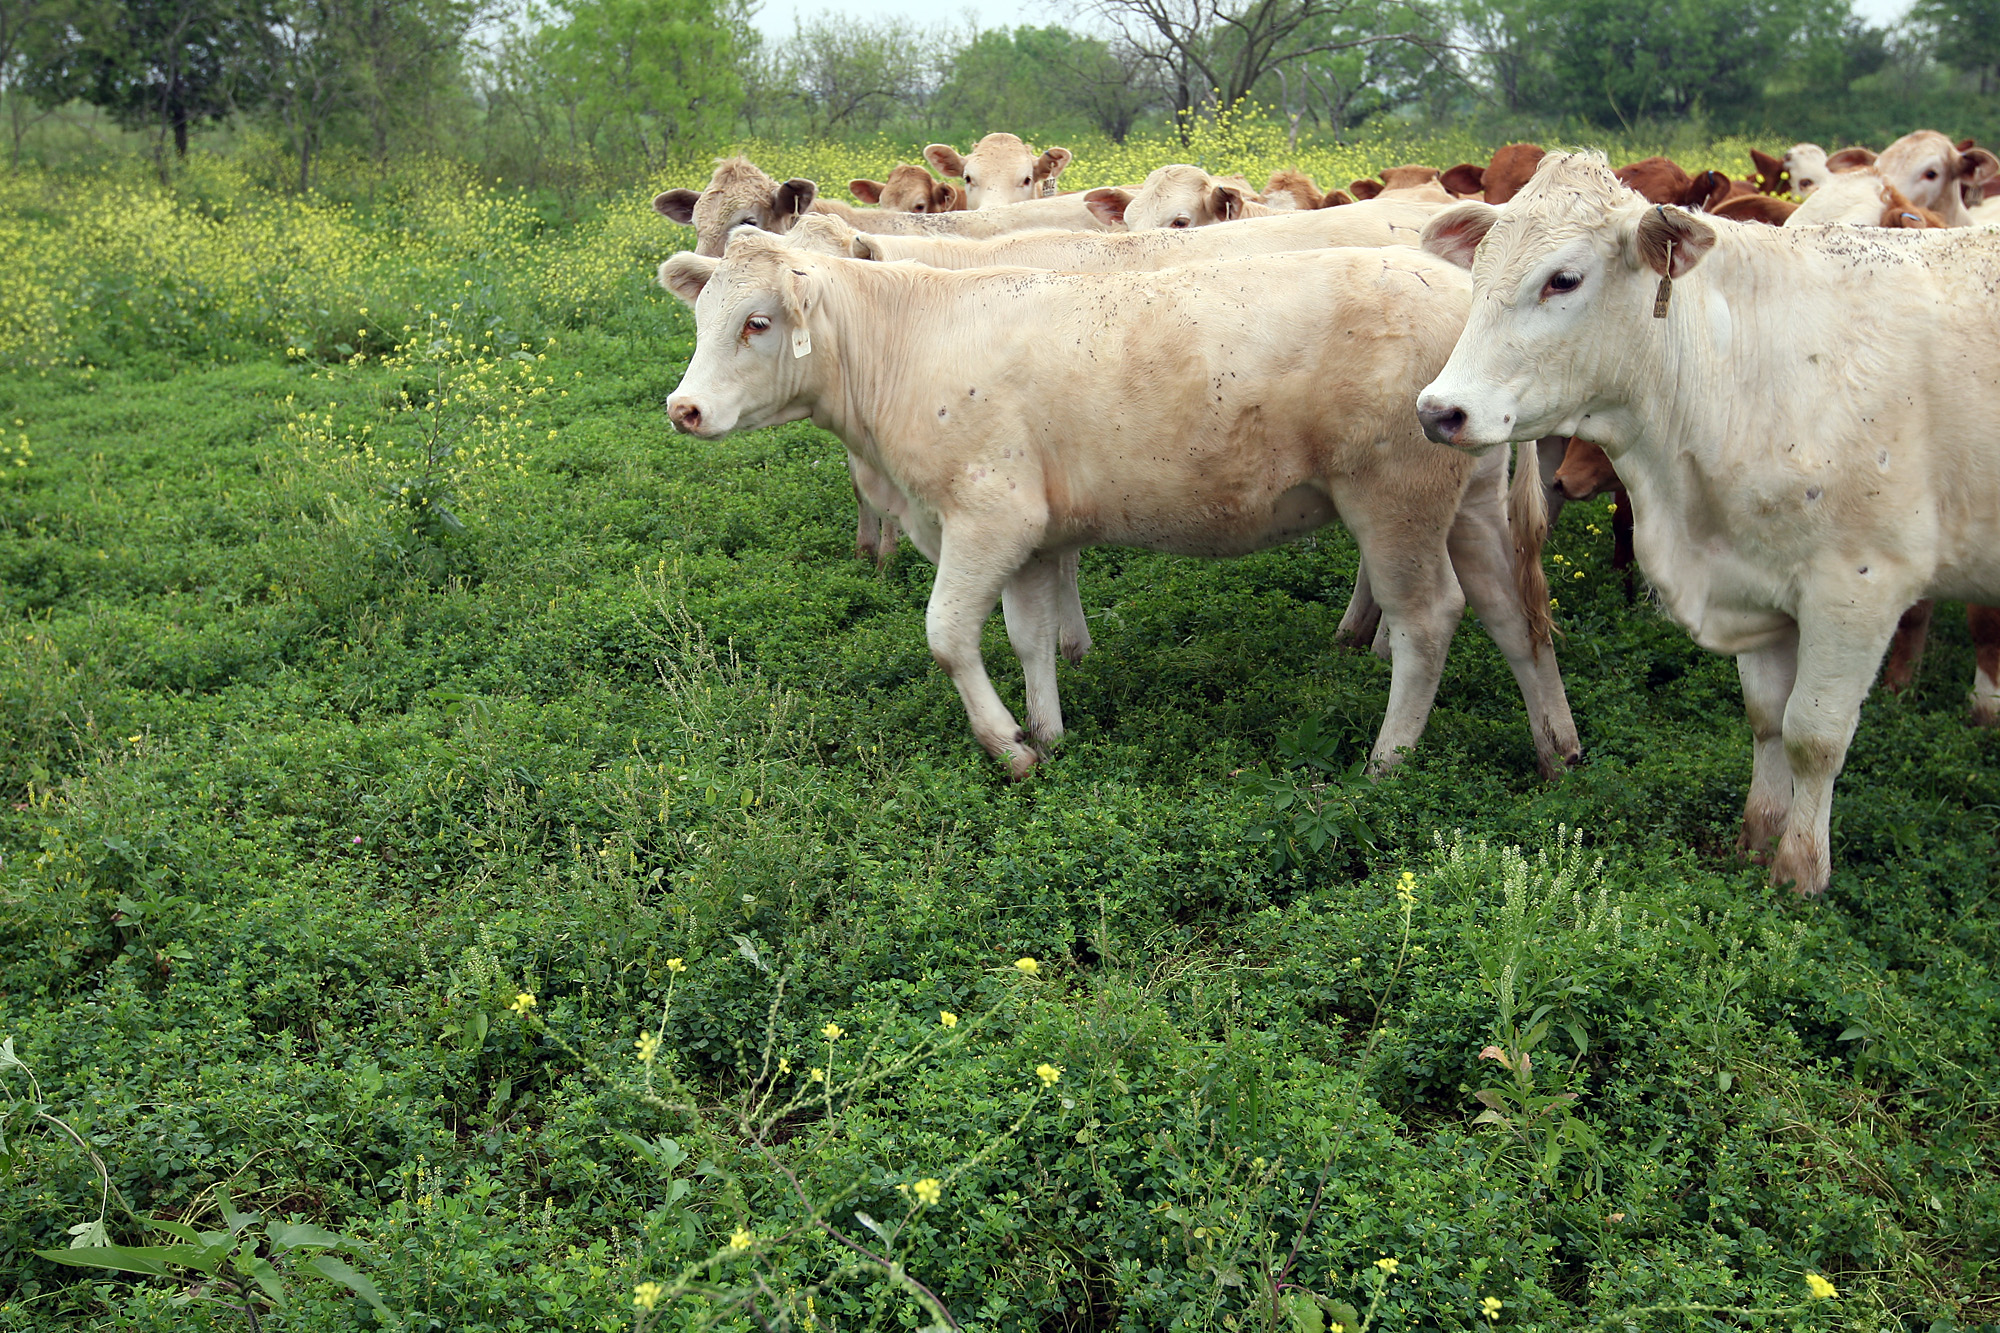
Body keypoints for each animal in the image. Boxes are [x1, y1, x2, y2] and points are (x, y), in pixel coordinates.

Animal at [660, 232, 1581, 780]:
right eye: (702, 316)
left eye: (757, 322)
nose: (683, 408)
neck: (910, 344)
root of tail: (1455, 287)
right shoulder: (1033, 536)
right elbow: (1030, 637)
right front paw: (1049, 731)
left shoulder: (987, 516)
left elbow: (948, 635)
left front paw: (1007, 747)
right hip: (1471, 502)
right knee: (1511, 615)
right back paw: (1556, 746)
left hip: (1395, 500)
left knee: (1428, 620)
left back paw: (1387, 760)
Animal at [1413, 150, 2000, 894]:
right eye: (1479, 268)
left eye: (1563, 279)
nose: (1439, 411)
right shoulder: (1757, 580)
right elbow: (1769, 719)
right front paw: (1756, 838)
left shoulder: (1860, 587)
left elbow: (1815, 735)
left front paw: (1799, 872)